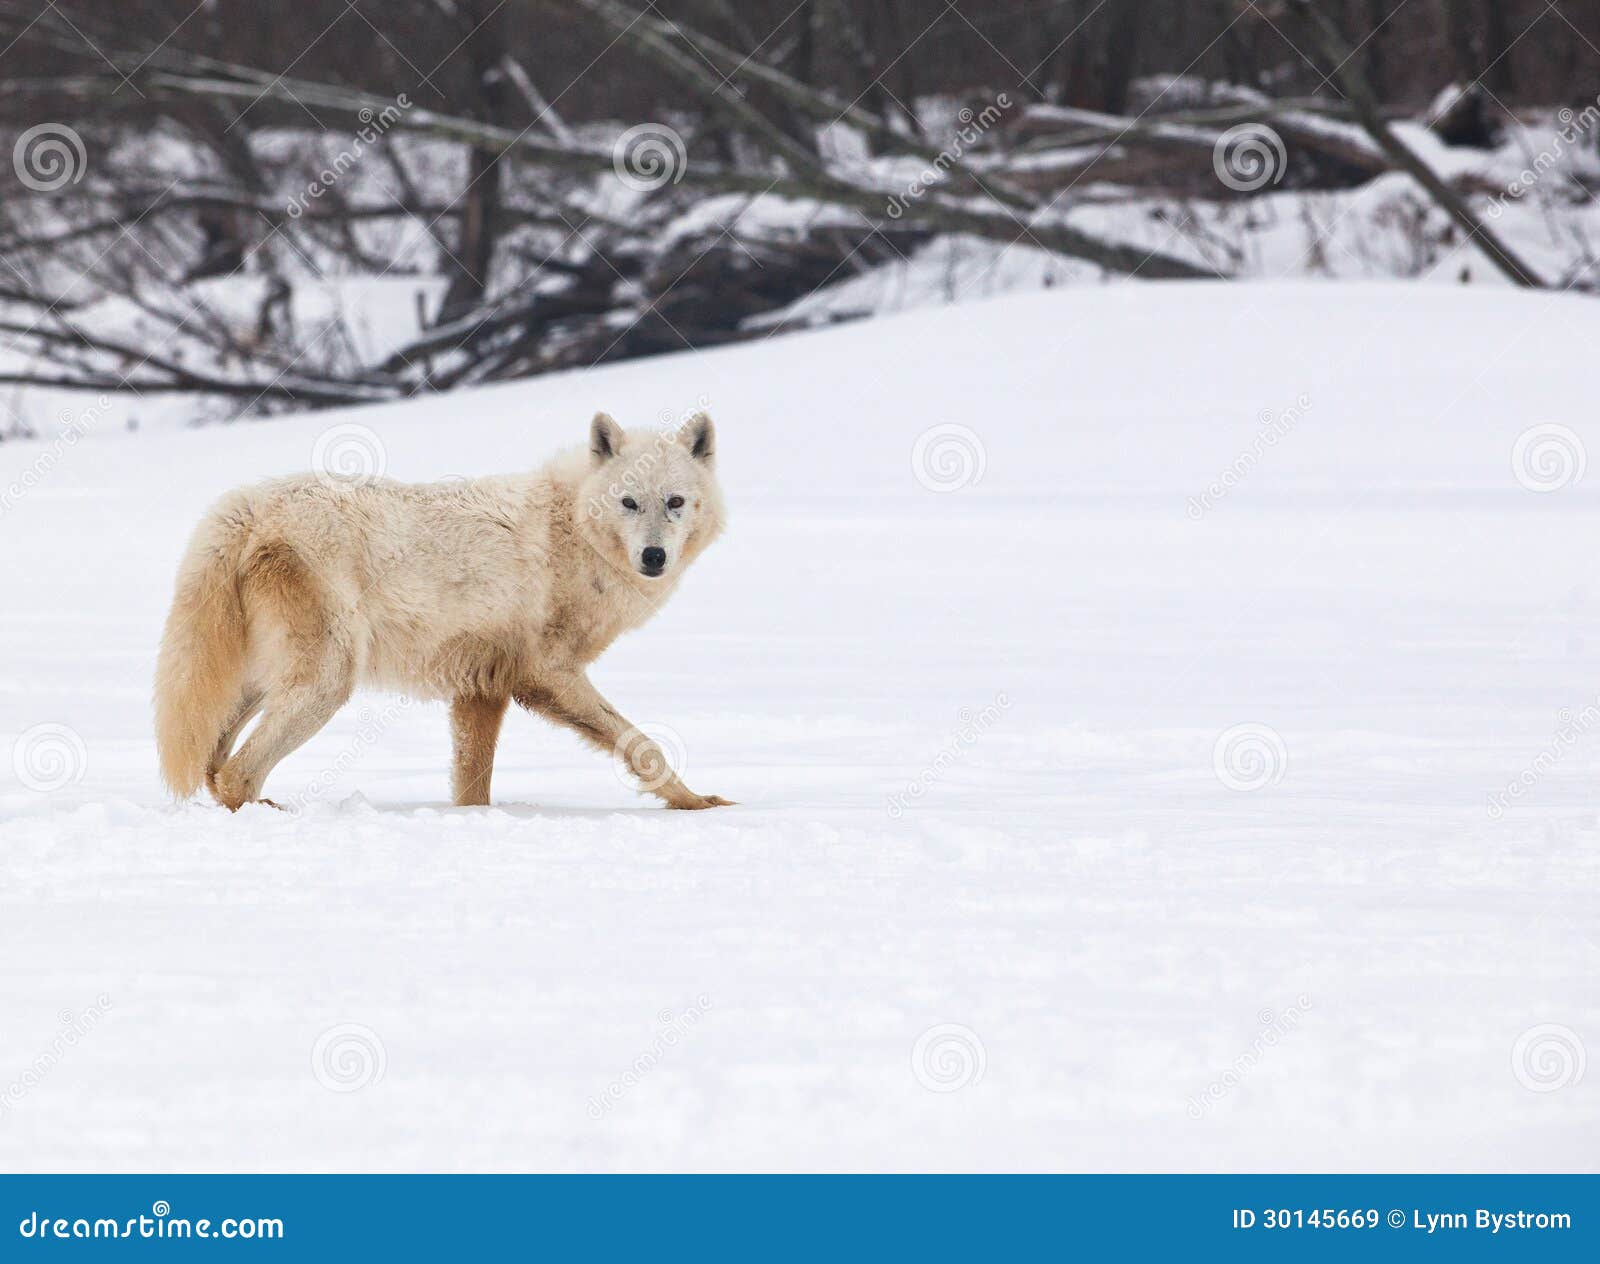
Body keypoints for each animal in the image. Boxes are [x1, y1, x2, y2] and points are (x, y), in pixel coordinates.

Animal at [153, 410, 733, 812]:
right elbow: (642, 744)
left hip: (259, 683)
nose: (654, 556)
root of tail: (245, 507)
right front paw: (696, 804)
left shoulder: (481, 689)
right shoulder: (547, 675)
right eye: (629, 503)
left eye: (676, 502)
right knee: (236, 775)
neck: (572, 529)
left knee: (213, 767)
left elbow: (472, 785)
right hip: (327, 684)